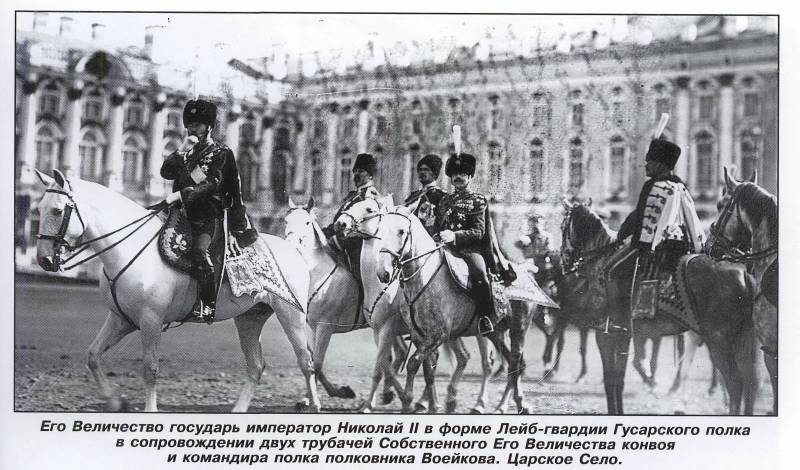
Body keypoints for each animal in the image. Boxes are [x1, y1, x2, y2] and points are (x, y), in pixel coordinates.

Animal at [33, 169, 322, 412]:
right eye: (40, 208)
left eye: (57, 211)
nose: (44, 260)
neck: (131, 248)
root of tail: (292, 248)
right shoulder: (121, 319)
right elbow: (93, 355)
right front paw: (115, 401)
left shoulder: (150, 320)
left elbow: (150, 369)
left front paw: (149, 411)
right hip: (249, 318)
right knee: (256, 366)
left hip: (291, 316)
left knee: (306, 362)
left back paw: (314, 405)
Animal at [560, 200, 760, 414]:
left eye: (563, 226)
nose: (564, 262)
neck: (602, 262)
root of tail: (743, 273)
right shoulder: (619, 336)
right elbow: (615, 377)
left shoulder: (611, 334)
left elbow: (615, 379)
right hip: (740, 338)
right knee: (749, 383)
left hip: (718, 340)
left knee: (735, 382)